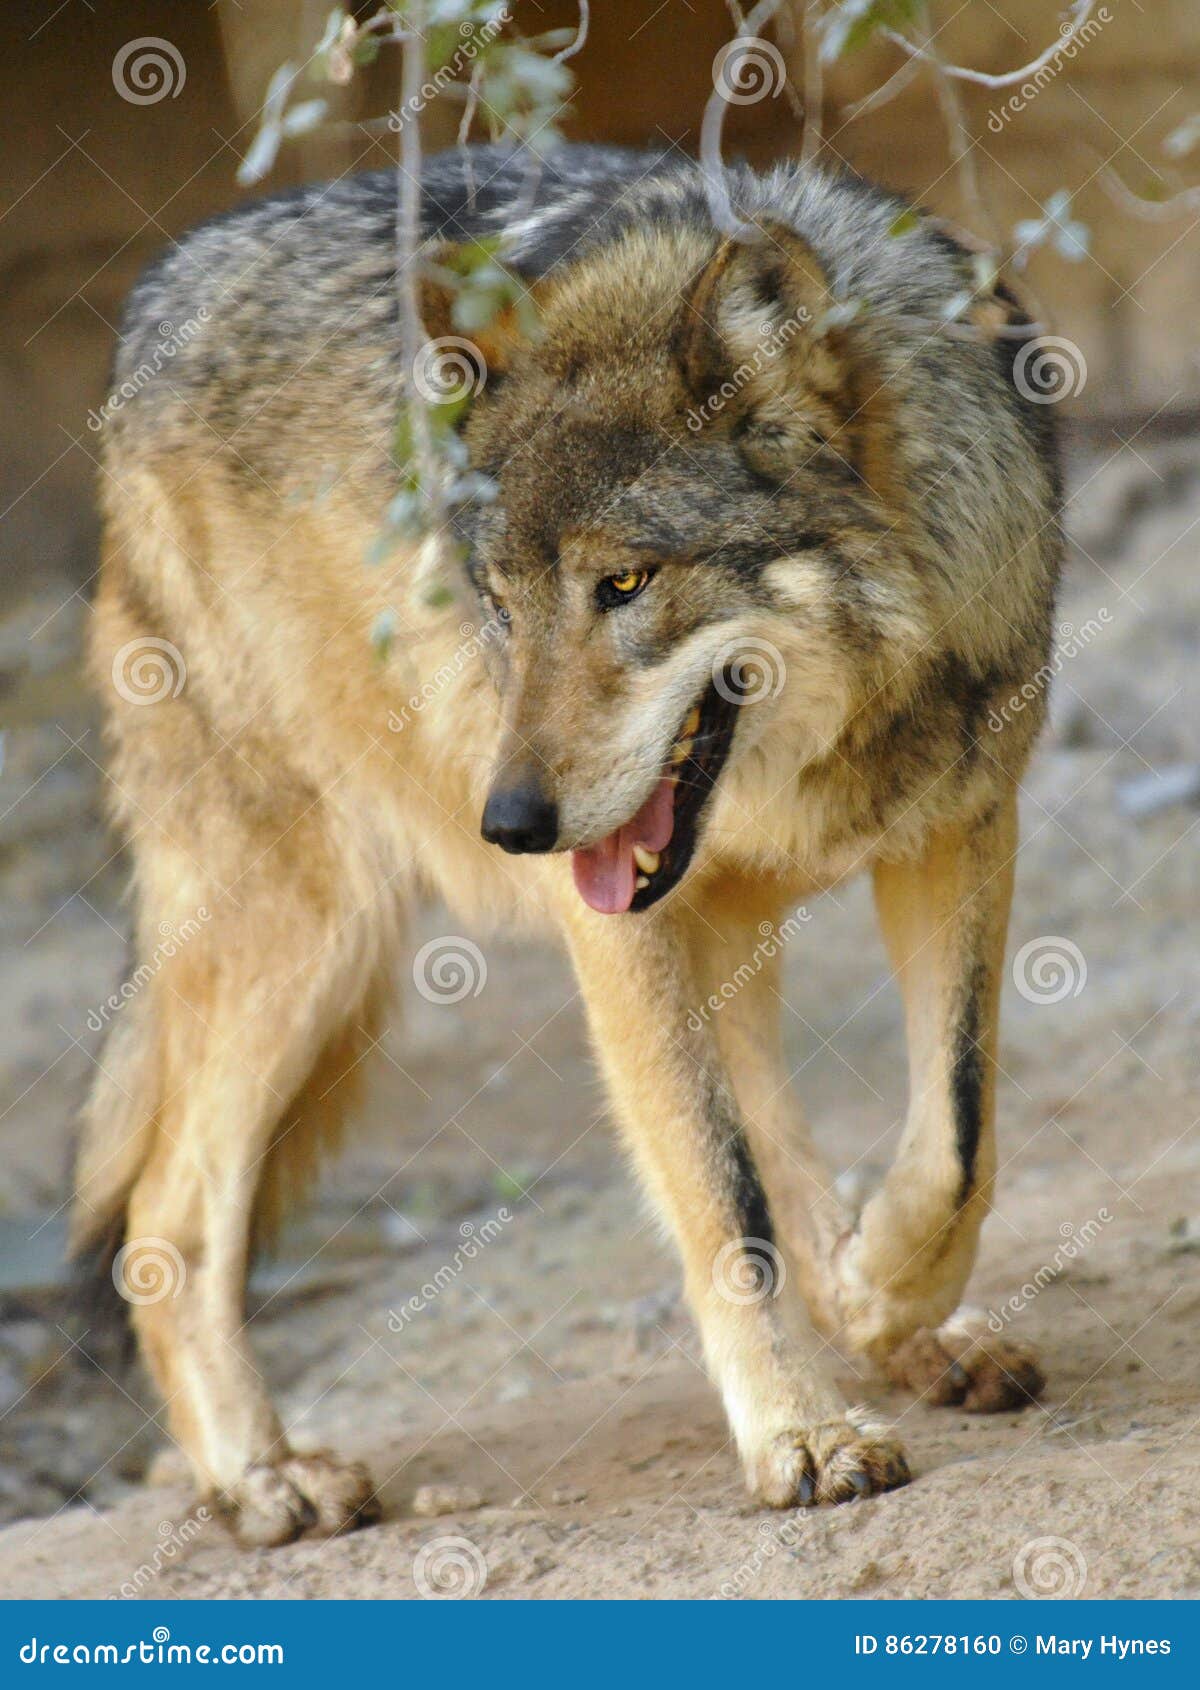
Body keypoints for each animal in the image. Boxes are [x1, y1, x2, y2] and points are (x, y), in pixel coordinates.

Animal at [74, 143, 1058, 1546]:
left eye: (626, 584)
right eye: (498, 602)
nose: (513, 827)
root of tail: (162, 286)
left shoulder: (962, 825)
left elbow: (956, 1134)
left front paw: (885, 1297)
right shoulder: (622, 925)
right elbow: (721, 1194)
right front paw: (804, 1432)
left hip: (672, 917)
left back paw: (892, 1325)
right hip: (317, 929)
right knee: (164, 1217)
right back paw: (261, 1476)